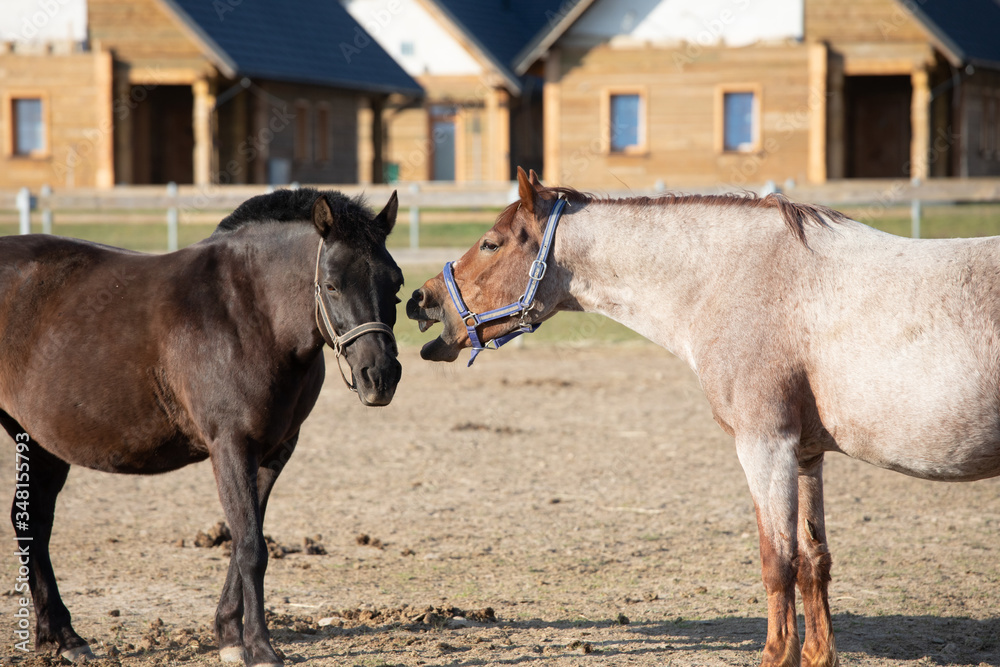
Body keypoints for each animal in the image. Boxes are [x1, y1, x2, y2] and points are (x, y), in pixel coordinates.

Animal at [2, 188, 403, 666]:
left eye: (396, 285)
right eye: (332, 285)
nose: (380, 377)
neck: (249, 313)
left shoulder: (272, 452)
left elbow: (245, 539)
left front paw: (230, 634)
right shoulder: (230, 446)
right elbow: (251, 548)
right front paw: (261, 647)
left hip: (40, 442)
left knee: (33, 521)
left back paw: (62, 636)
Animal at [406, 167, 1000, 667]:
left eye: (491, 242)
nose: (422, 299)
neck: (738, 276)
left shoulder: (766, 445)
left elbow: (778, 562)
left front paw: (777, 654)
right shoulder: (807, 454)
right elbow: (813, 562)